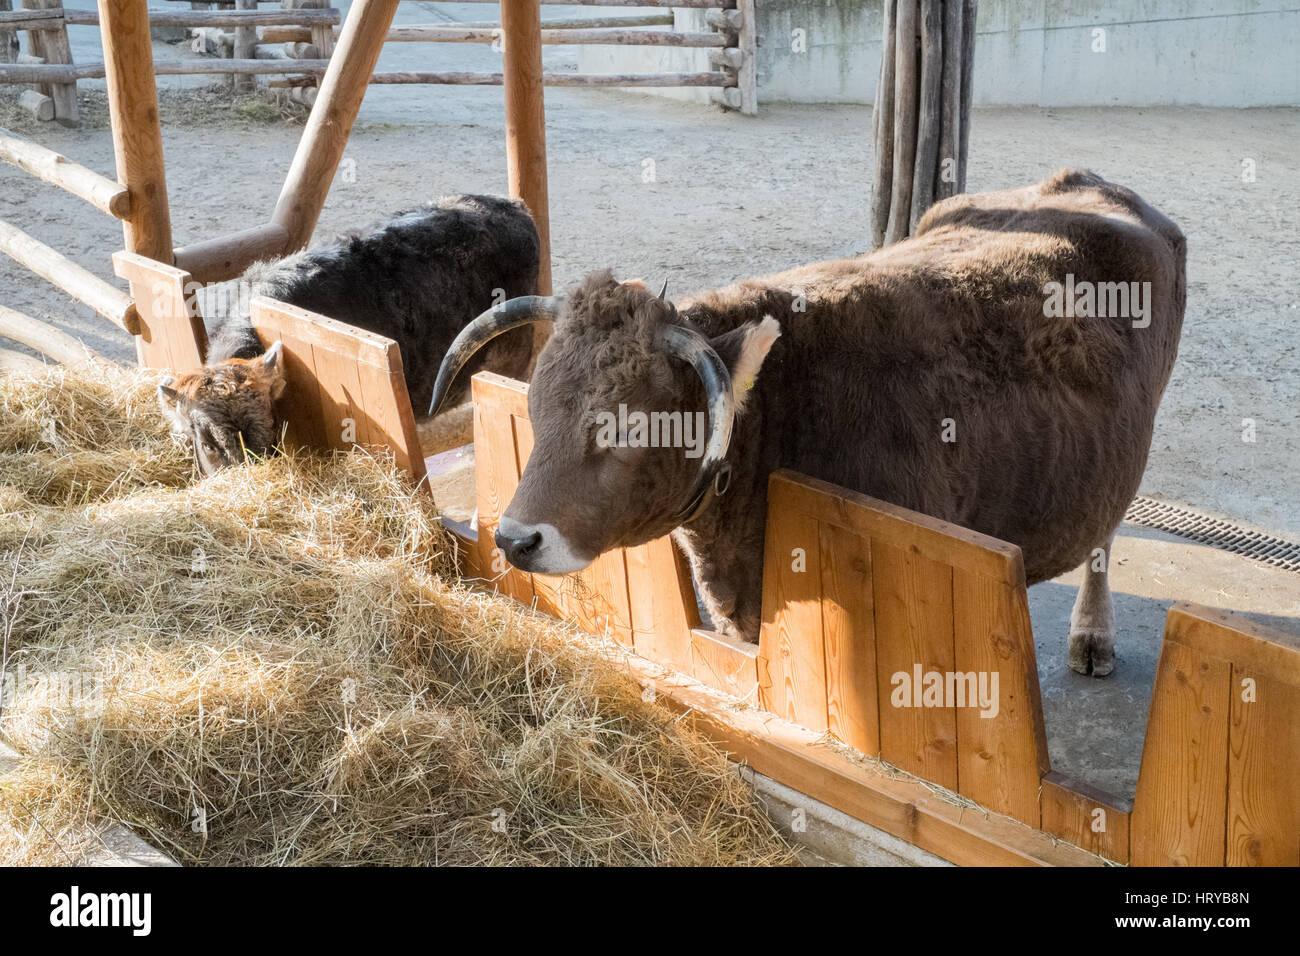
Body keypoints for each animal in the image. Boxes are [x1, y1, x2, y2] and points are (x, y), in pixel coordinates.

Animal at [428, 170, 1187, 677]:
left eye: (629, 428)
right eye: (534, 408)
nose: (515, 538)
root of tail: (1088, 184)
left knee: (1106, 530)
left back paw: (1093, 635)